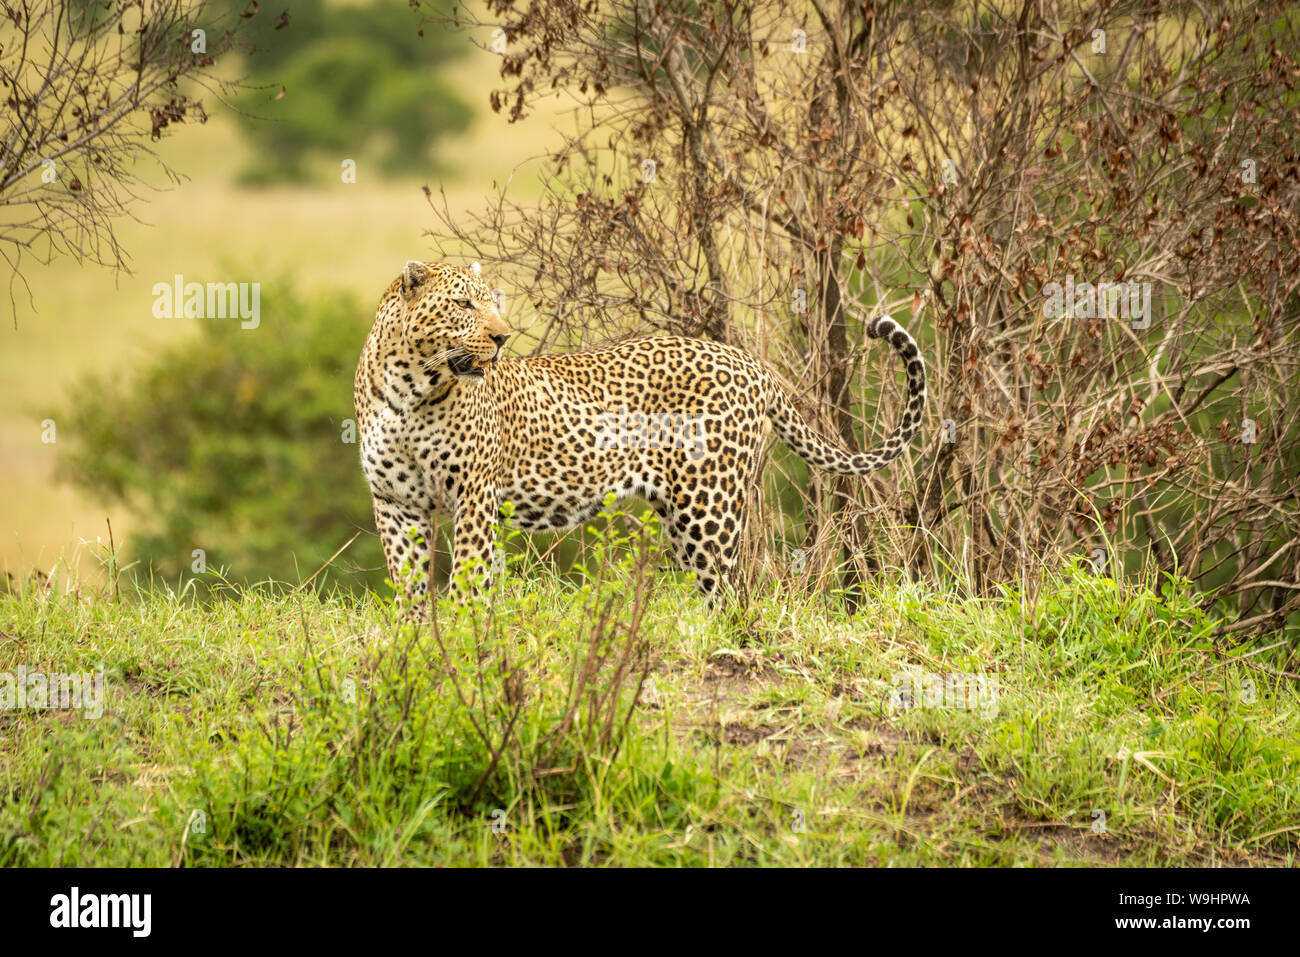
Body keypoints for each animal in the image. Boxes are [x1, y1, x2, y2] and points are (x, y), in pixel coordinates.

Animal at [354, 260, 926, 607]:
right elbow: (408, 580)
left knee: (732, 593)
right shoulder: (395, 503)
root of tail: (750, 363)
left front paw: (460, 631)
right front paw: (416, 635)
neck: (411, 389)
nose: (501, 337)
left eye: (490, 303)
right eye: (463, 305)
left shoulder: (474, 495)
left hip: (710, 507)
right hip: (680, 515)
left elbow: (469, 576)